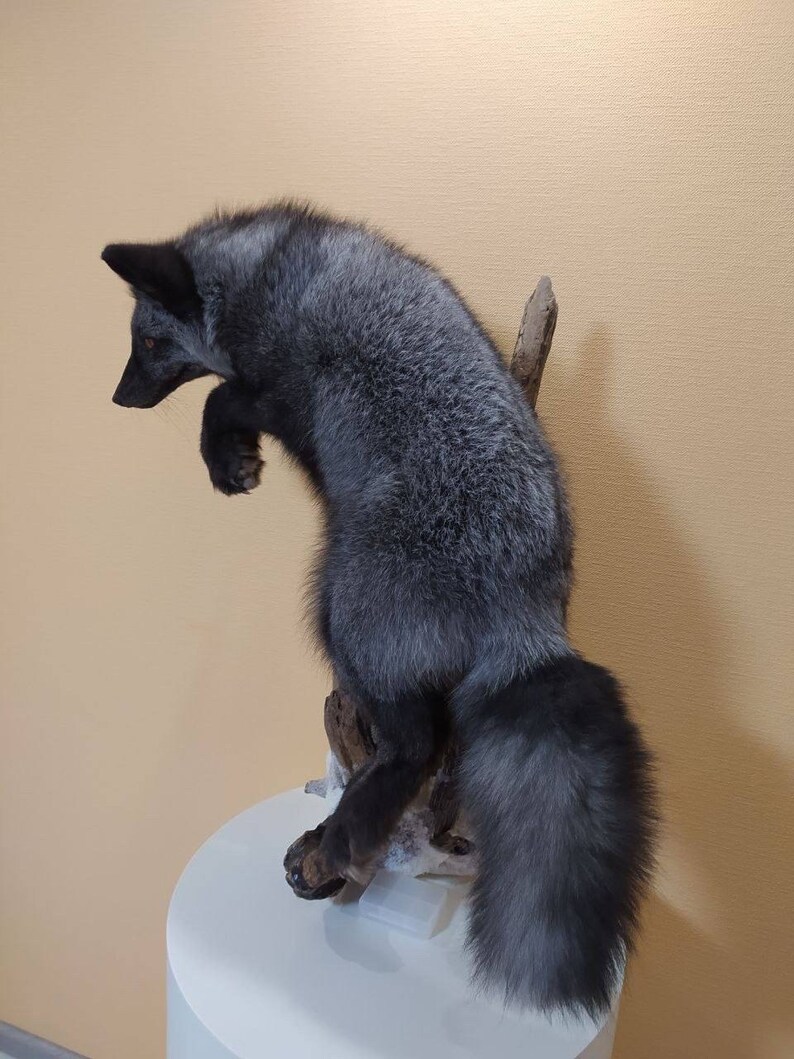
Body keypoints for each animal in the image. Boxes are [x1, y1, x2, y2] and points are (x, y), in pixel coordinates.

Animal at [103, 202, 656, 1018]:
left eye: (146, 341)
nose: (118, 397)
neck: (272, 274)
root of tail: (527, 607)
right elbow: (223, 395)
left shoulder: (283, 390)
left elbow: (219, 397)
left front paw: (225, 458)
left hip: (336, 604)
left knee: (416, 743)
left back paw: (346, 831)